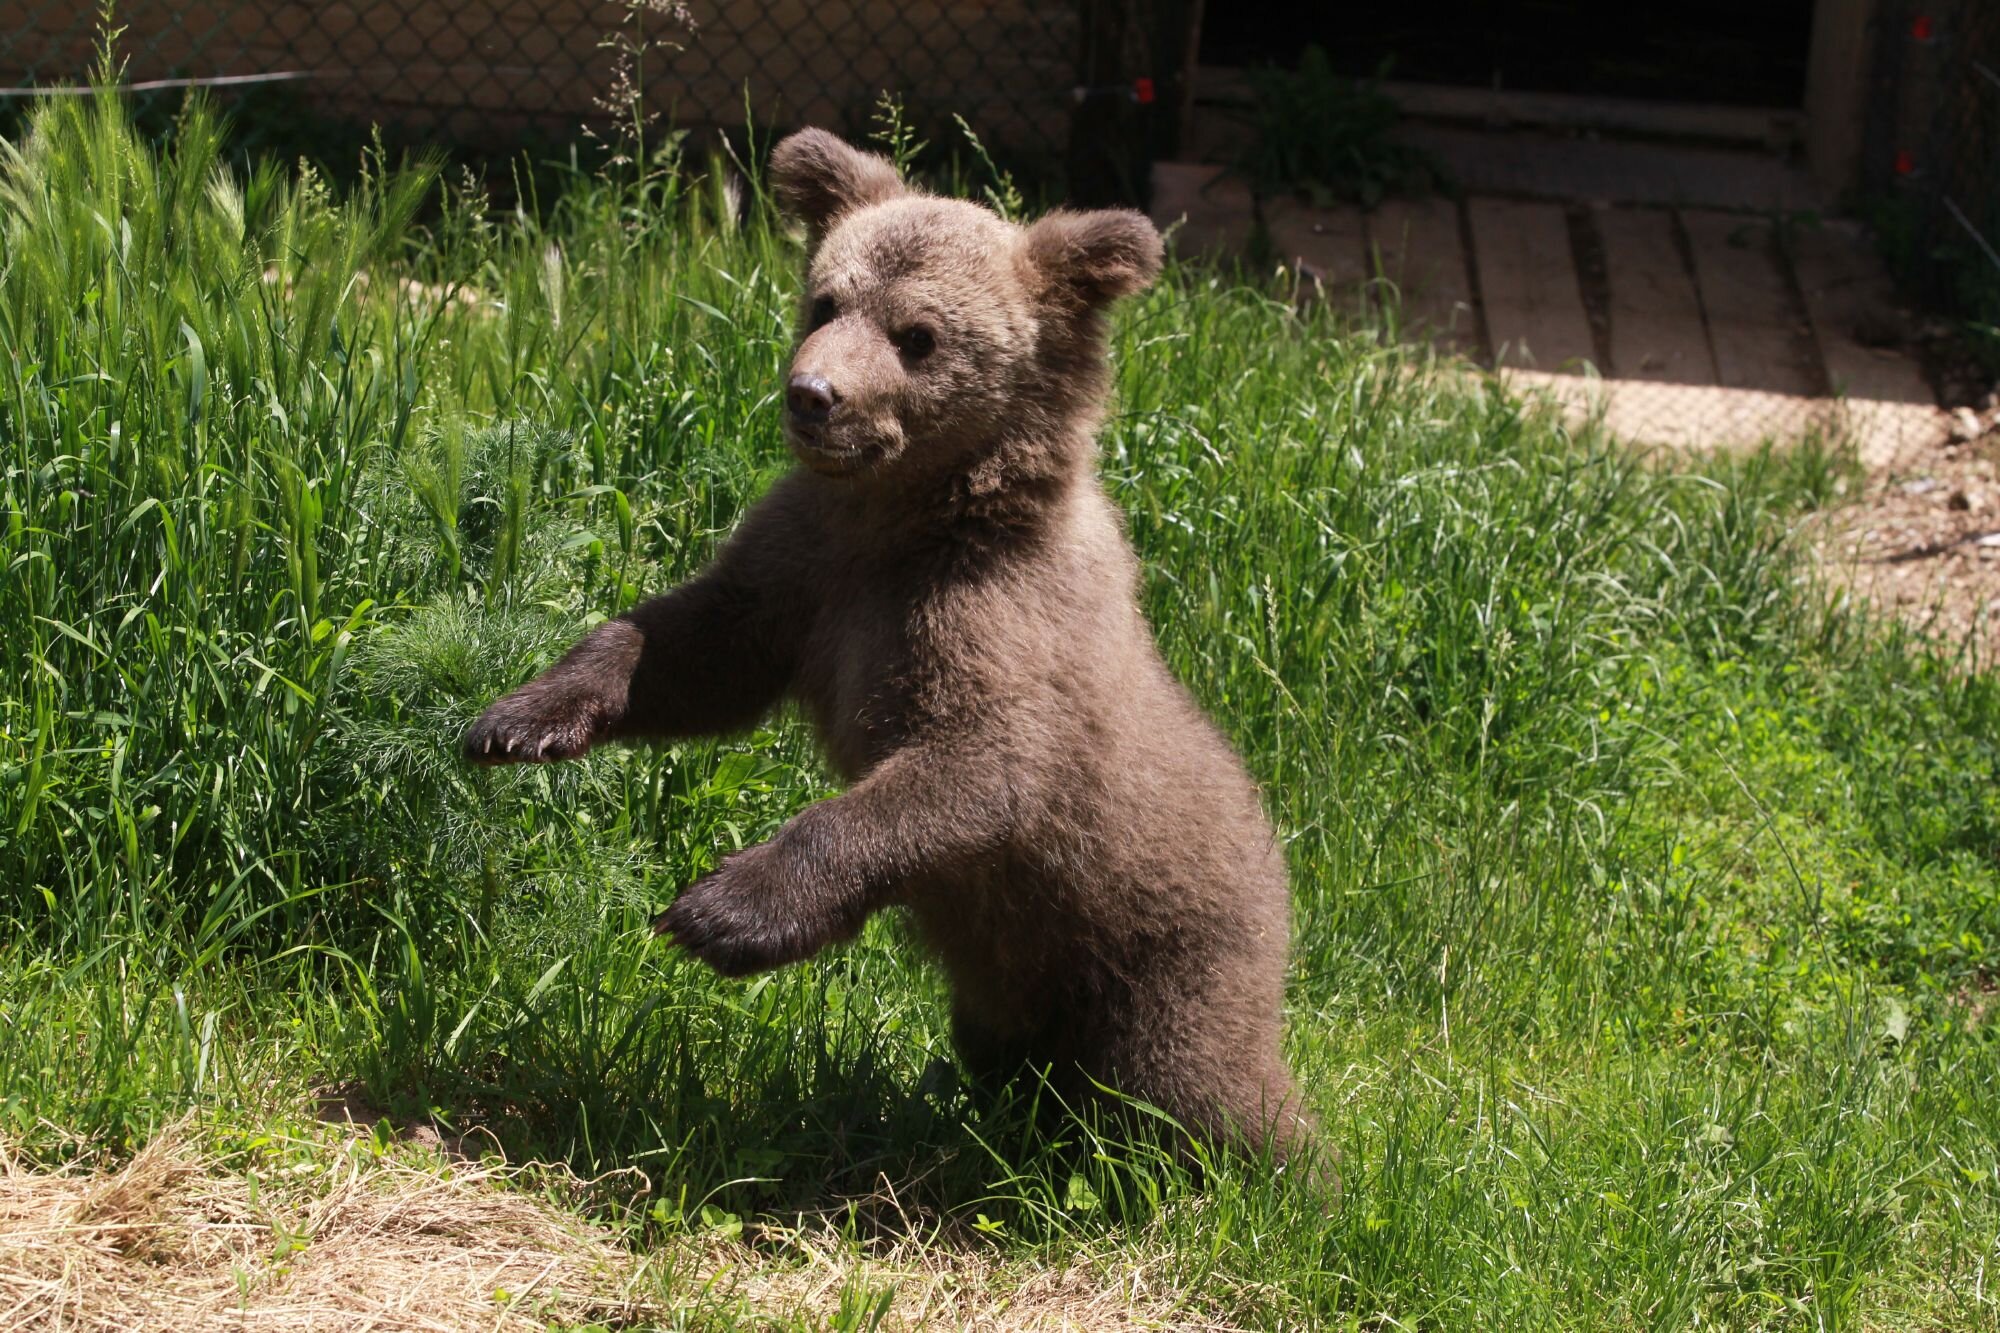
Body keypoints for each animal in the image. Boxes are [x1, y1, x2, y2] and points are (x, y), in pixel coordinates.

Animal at [463, 128, 1314, 1168]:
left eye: (919, 335)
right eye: (825, 300)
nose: (812, 395)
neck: (905, 520)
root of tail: (1282, 877)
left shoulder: (990, 620)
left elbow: (973, 766)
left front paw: (722, 911)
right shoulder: (802, 572)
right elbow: (691, 647)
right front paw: (519, 718)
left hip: (1161, 947)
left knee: (1200, 1089)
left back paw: (1290, 1175)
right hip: (1018, 983)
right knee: (1018, 1059)